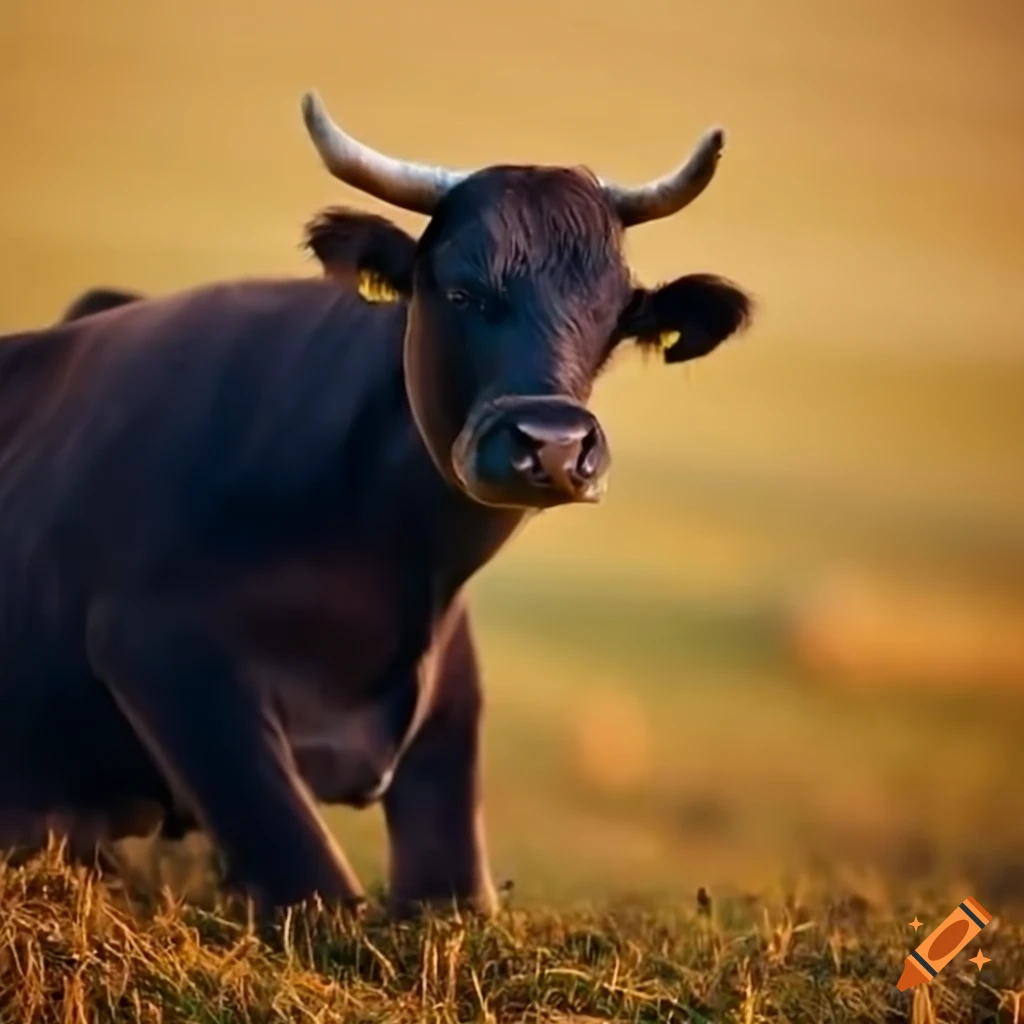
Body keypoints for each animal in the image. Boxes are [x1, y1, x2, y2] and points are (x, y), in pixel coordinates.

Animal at [0, 89, 754, 919]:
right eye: (460, 290)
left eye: (617, 317)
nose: (554, 447)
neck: (381, 557)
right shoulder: (160, 655)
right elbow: (322, 886)